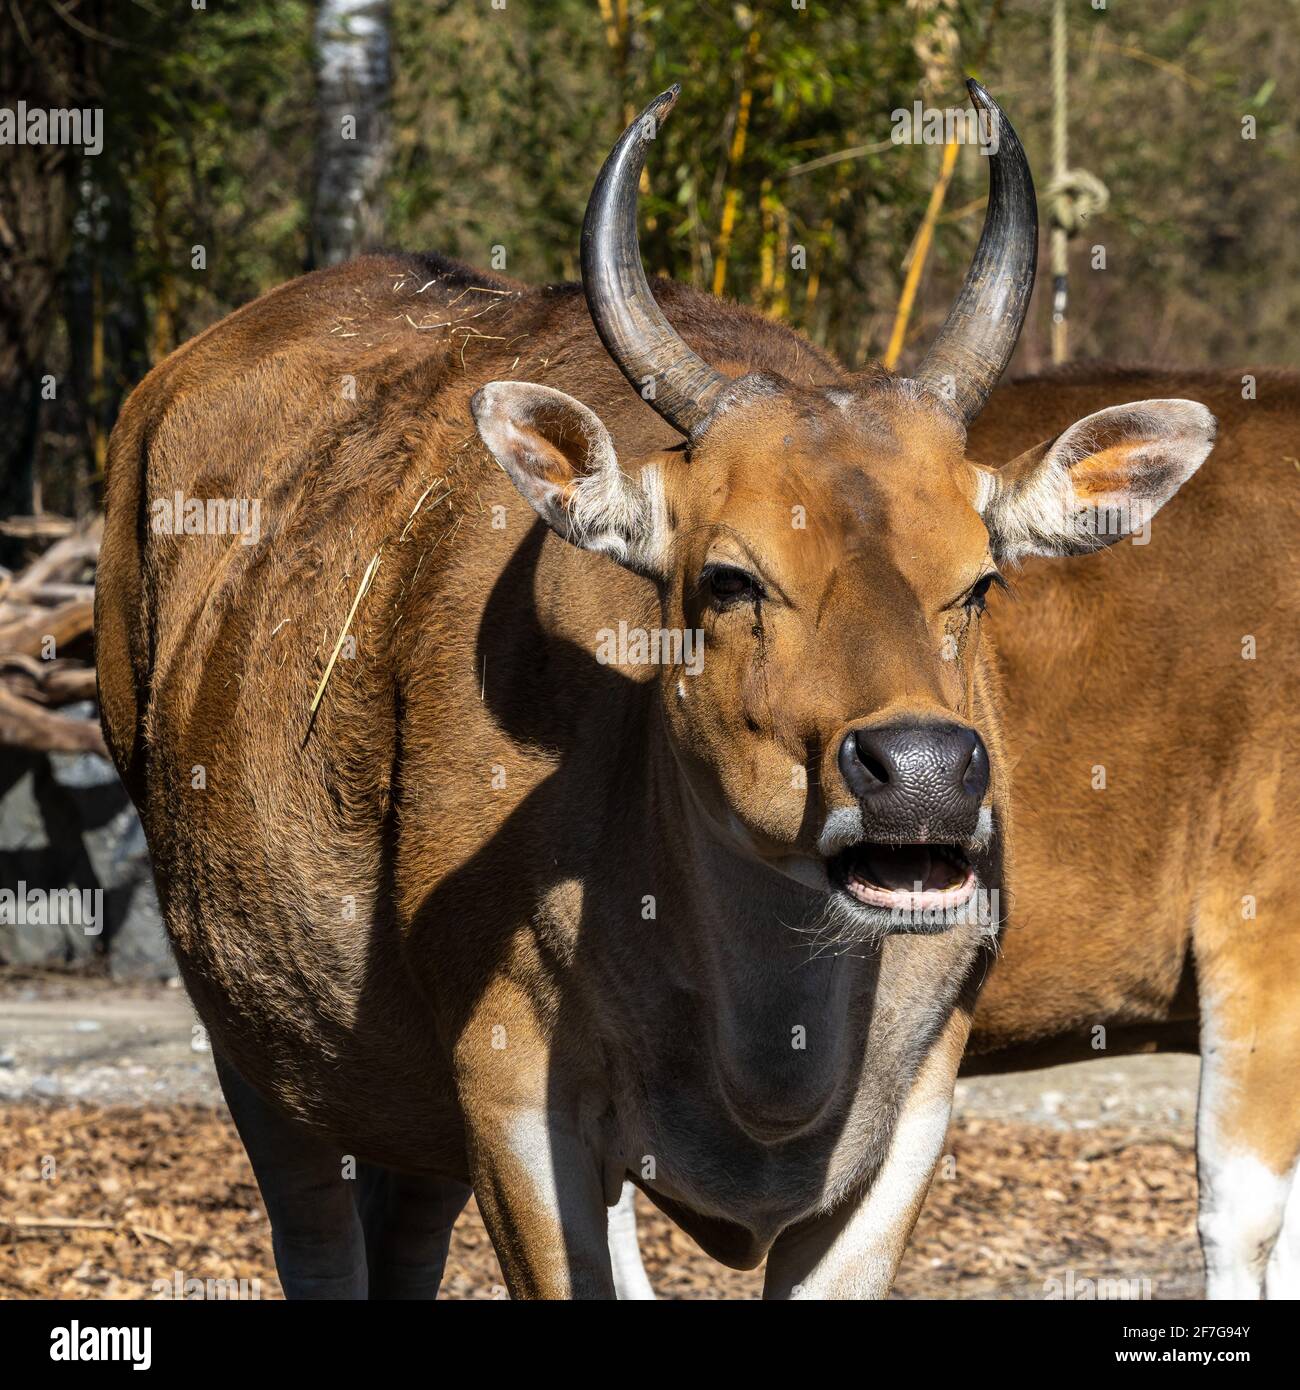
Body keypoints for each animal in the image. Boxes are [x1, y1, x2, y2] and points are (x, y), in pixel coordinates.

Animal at [94, 80, 1273, 1300]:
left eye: (980, 582)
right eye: (728, 577)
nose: (922, 777)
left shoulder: (911, 1117)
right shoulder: (516, 1108)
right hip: (253, 1038)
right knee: (316, 1233)